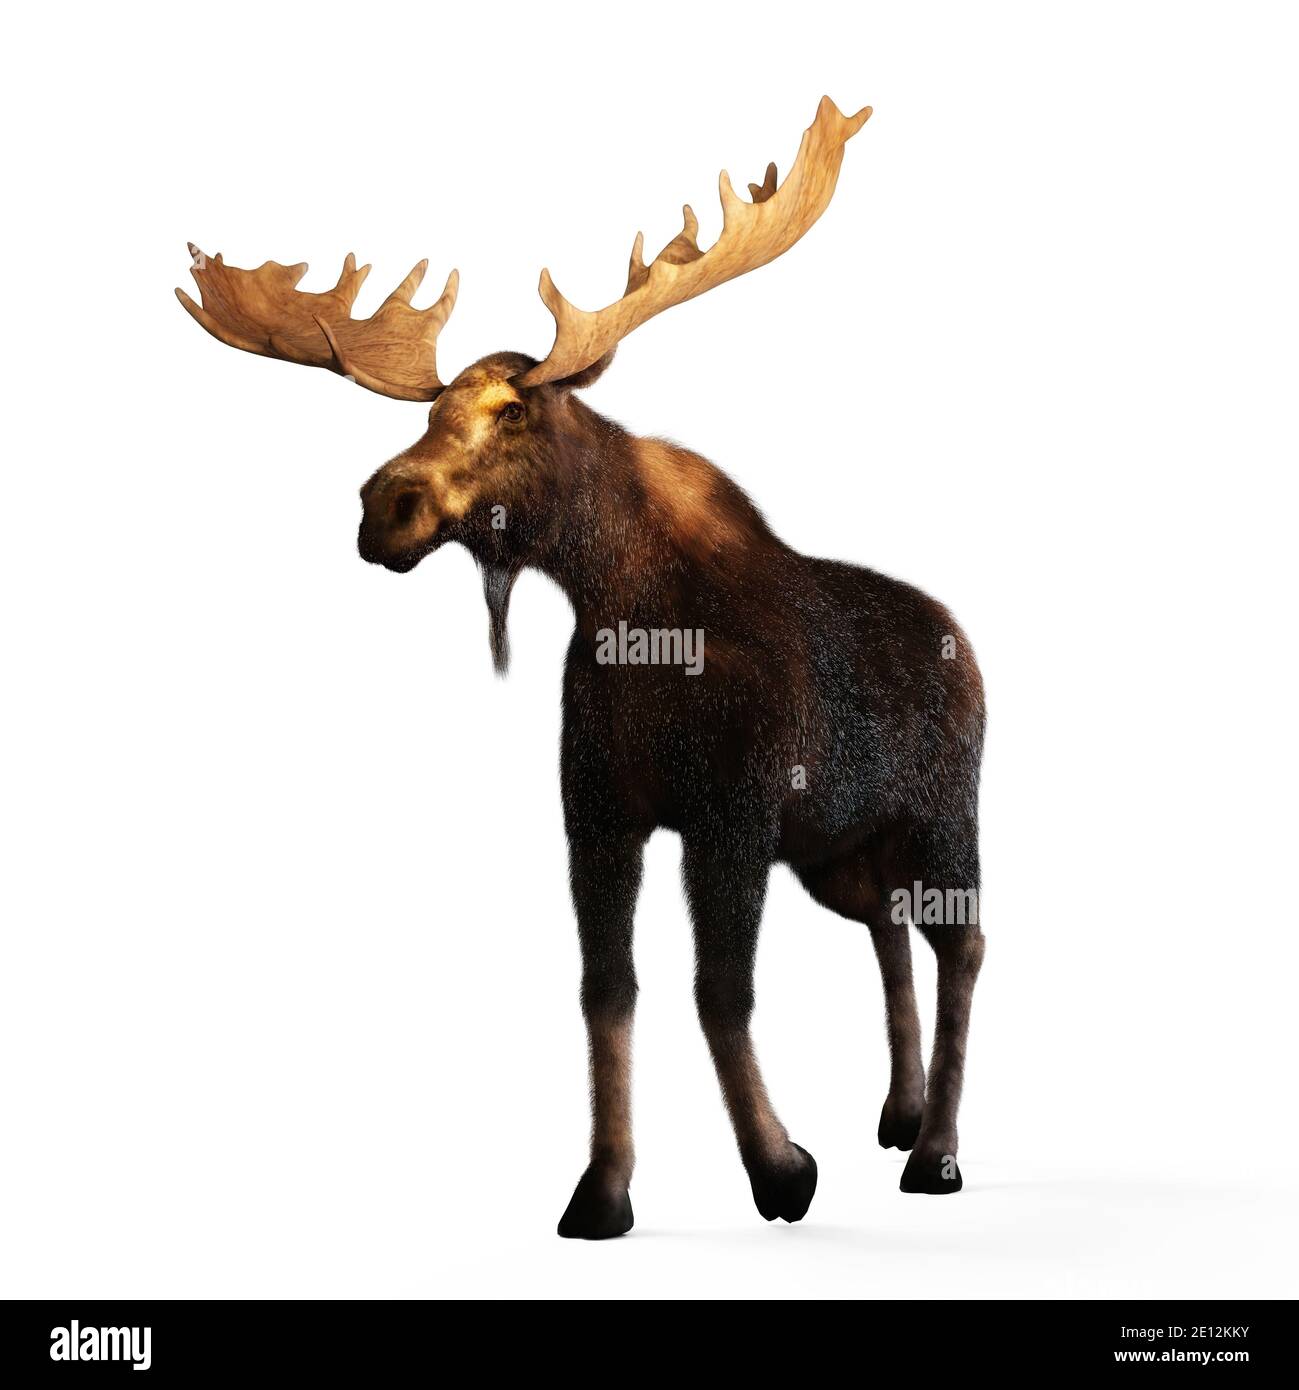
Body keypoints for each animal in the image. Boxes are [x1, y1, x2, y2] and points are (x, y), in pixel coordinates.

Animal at [176, 97, 986, 1240]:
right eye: (426, 415)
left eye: (513, 412)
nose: (384, 507)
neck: (622, 613)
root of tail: (967, 643)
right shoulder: (596, 811)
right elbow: (607, 989)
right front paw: (603, 1190)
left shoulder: (732, 812)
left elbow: (718, 990)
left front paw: (780, 1169)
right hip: (839, 851)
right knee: (888, 930)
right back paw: (900, 1114)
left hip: (940, 815)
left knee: (962, 944)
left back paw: (938, 1153)